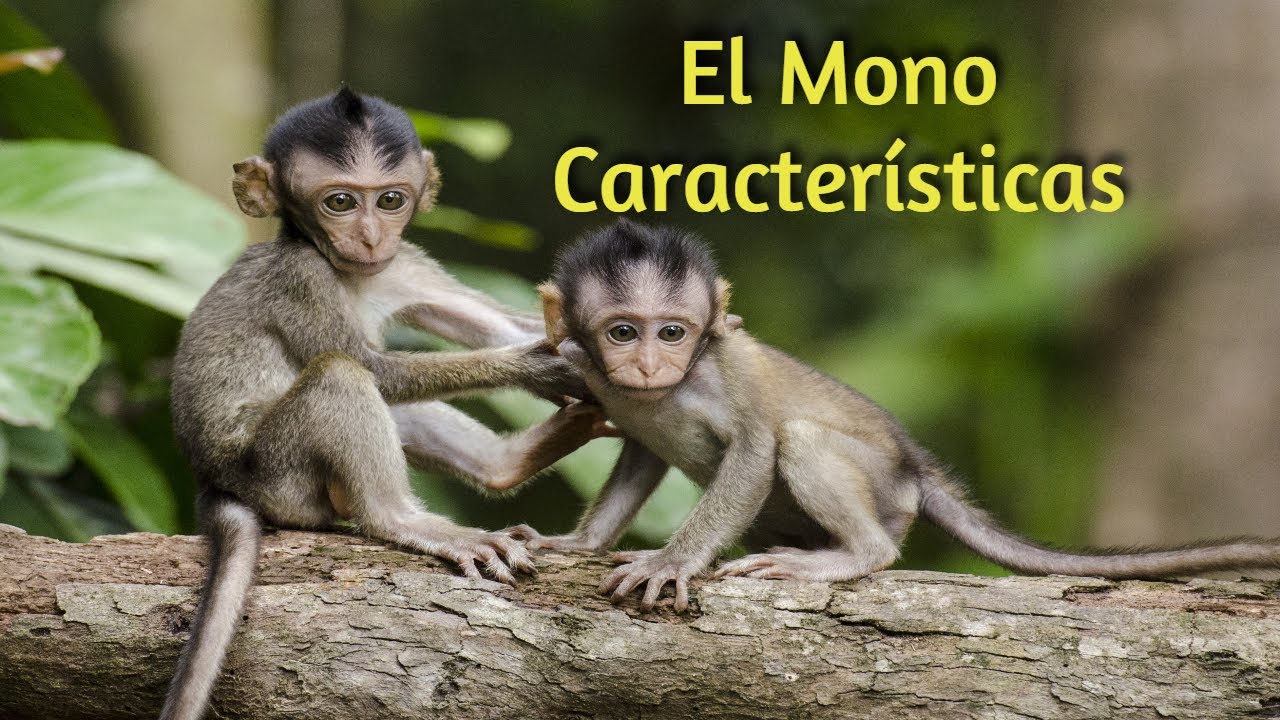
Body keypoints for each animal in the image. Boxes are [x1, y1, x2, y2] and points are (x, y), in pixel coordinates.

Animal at [160, 88, 607, 720]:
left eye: (390, 199)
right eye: (340, 201)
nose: (371, 237)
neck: (350, 274)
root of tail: (212, 481)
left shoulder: (406, 263)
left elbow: (498, 325)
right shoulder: (301, 277)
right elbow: (372, 368)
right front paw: (538, 366)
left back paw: (508, 464)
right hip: (277, 475)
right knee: (341, 376)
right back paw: (402, 519)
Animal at [509, 218, 1280, 612]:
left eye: (672, 332)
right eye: (622, 333)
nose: (648, 366)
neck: (665, 390)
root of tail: (914, 467)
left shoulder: (724, 367)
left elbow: (756, 449)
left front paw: (672, 561)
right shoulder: (597, 378)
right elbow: (641, 454)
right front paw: (577, 545)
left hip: (885, 488)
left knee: (803, 441)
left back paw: (854, 555)